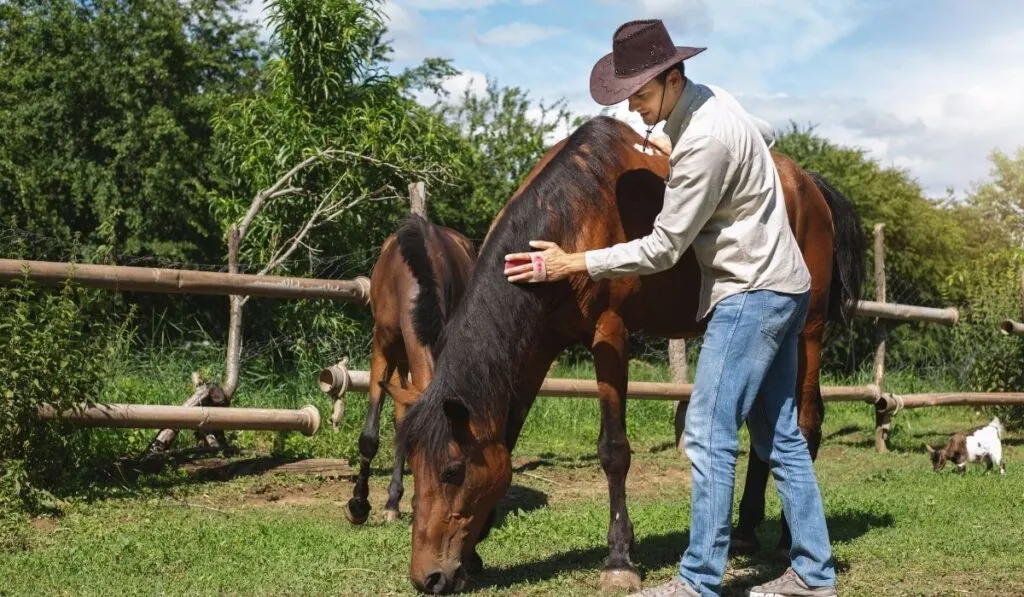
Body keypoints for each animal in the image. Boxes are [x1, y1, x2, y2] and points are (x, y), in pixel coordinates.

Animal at [344, 212, 476, 525]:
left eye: (454, 466)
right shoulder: (382, 347)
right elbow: (370, 436)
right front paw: (358, 505)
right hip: (400, 359)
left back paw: (393, 501)